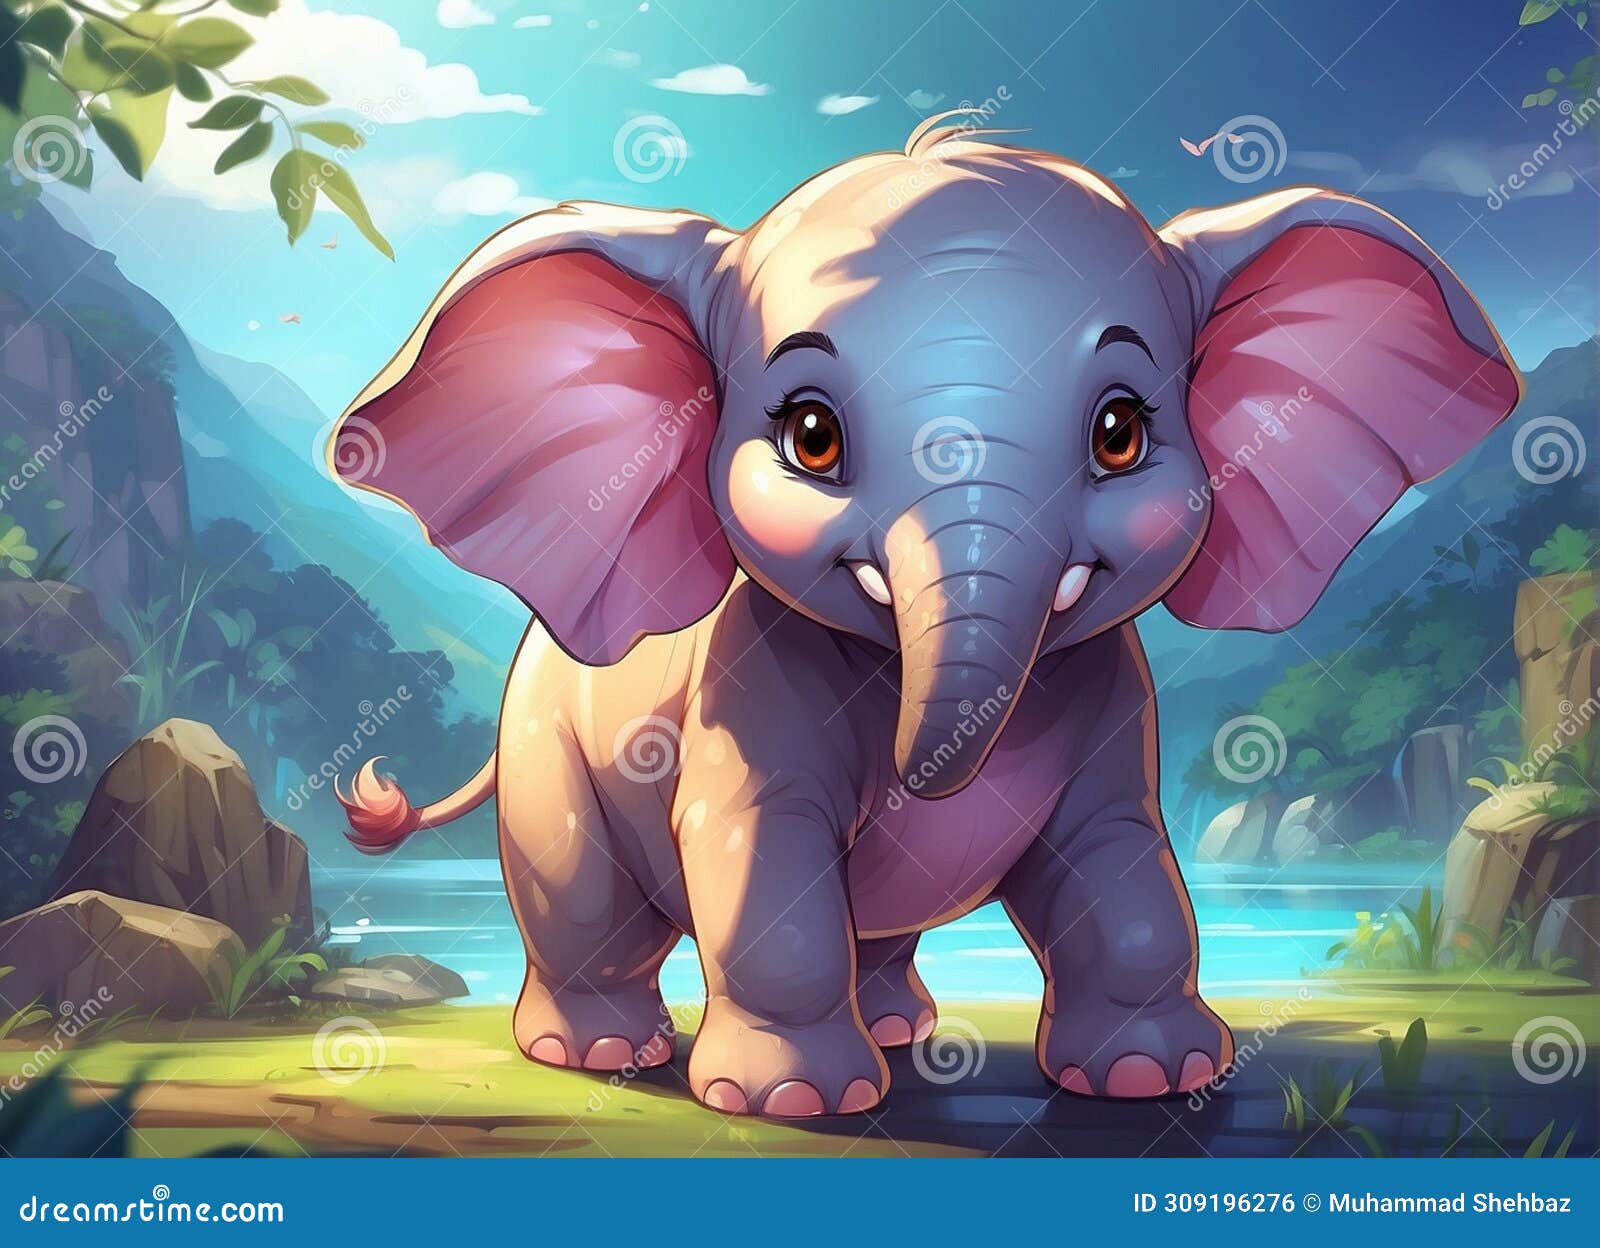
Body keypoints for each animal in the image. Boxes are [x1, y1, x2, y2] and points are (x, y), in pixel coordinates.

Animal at [329, 114, 1521, 1118]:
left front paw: (1154, 1074)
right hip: (543, 749)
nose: (922, 784)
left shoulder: (1110, 693)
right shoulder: (745, 688)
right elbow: (763, 861)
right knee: (586, 904)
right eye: (810, 436)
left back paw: (902, 1031)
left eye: (1122, 432)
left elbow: (1121, 859)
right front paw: (792, 1103)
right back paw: (604, 1053)